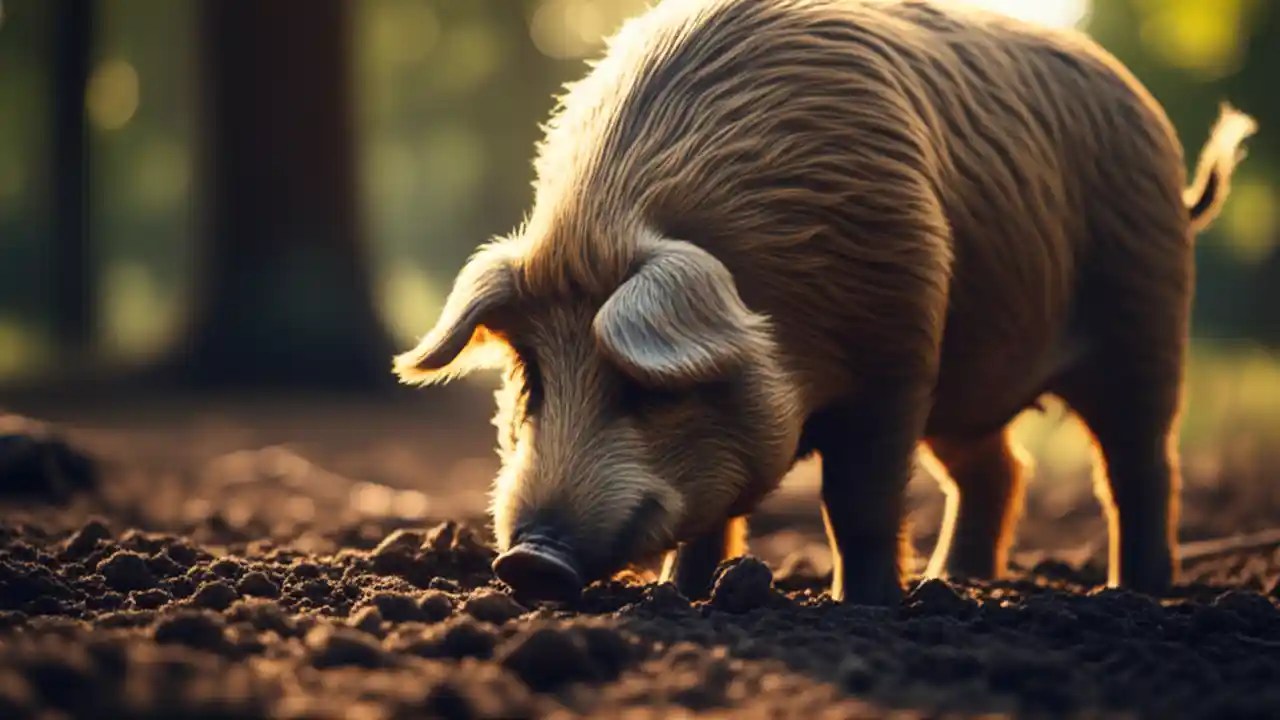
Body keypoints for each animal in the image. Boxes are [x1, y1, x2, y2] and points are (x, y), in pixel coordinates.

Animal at [394, 0, 1256, 605]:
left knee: (1139, 464)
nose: (528, 560)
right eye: (531, 383)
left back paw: (1133, 590)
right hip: (970, 385)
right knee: (1000, 468)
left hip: (1144, 316)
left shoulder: (898, 353)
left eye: (646, 390)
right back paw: (958, 582)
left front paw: (861, 605)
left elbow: (857, 498)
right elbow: (718, 509)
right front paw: (682, 594)